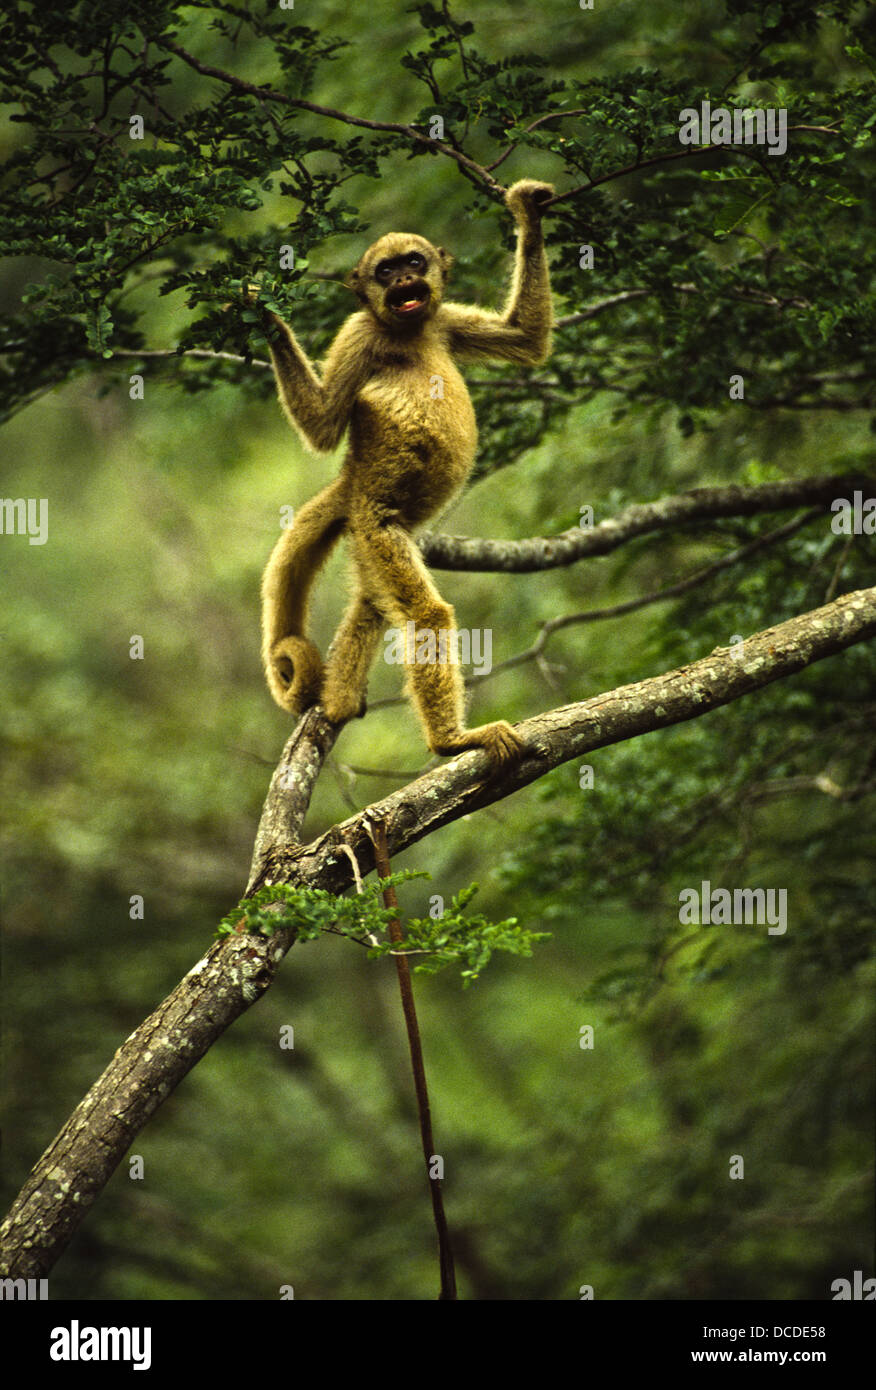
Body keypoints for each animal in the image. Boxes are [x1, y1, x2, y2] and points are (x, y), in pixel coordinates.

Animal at [257, 178, 554, 764]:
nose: (403, 282)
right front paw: (267, 321)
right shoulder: (358, 331)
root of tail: (351, 482)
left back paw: (338, 702)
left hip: (370, 537)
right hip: (377, 525)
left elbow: (526, 337)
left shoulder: (443, 323)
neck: (408, 330)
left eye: (414, 262)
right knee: (426, 613)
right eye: (385, 271)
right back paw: (450, 741)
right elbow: (324, 428)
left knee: (371, 602)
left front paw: (526, 211)